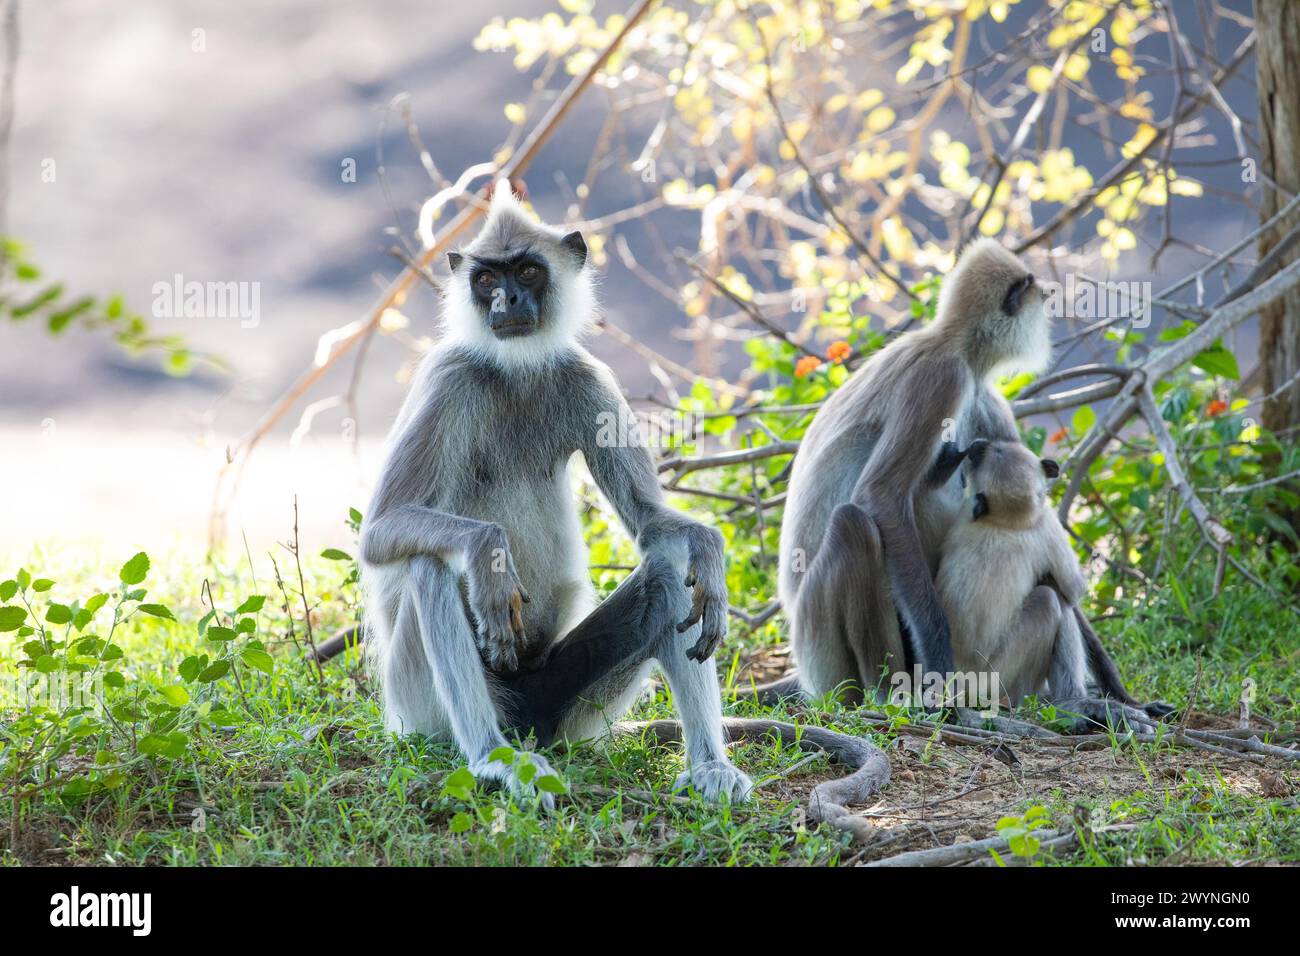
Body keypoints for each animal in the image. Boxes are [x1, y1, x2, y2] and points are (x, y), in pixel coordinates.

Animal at [358, 182, 754, 807]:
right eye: (486, 279)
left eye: (526, 270)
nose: (507, 300)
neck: (514, 371)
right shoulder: (449, 375)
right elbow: (381, 530)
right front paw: (489, 554)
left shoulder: (585, 377)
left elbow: (652, 524)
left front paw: (709, 553)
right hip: (417, 710)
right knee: (429, 566)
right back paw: (494, 760)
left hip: (566, 712)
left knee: (668, 572)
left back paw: (710, 766)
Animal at [934, 438, 1171, 730]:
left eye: (993, 451)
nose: (977, 445)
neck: (1005, 521)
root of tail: (961, 680)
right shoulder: (1048, 526)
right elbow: (1072, 591)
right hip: (997, 677)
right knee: (1050, 600)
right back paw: (1072, 705)